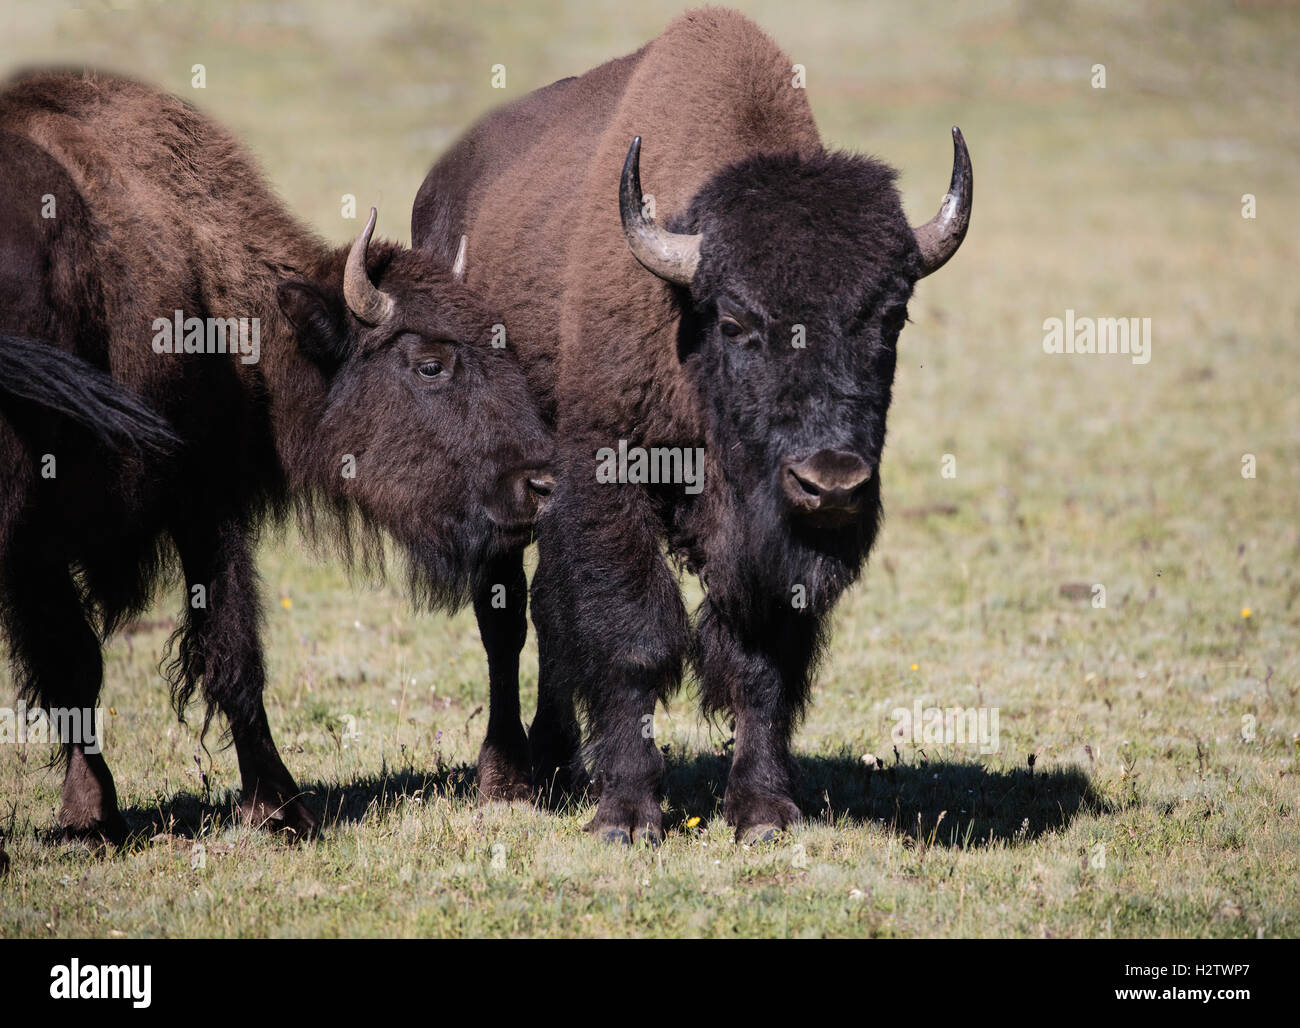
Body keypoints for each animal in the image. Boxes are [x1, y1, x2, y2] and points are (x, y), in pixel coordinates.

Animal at [0, 71, 553, 842]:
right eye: (429, 364)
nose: (540, 484)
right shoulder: (200, 501)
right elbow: (229, 653)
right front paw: (284, 809)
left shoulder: (42, 549)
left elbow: (73, 665)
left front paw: (91, 815)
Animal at [414, 8, 971, 843]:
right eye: (736, 321)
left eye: (890, 315)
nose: (830, 481)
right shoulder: (607, 482)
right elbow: (634, 637)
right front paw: (627, 815)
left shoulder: (765, 542)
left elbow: (760, 657)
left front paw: (764, 811)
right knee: (504, 616)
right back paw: (507, 778)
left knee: (545, 614)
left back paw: (556, 759)